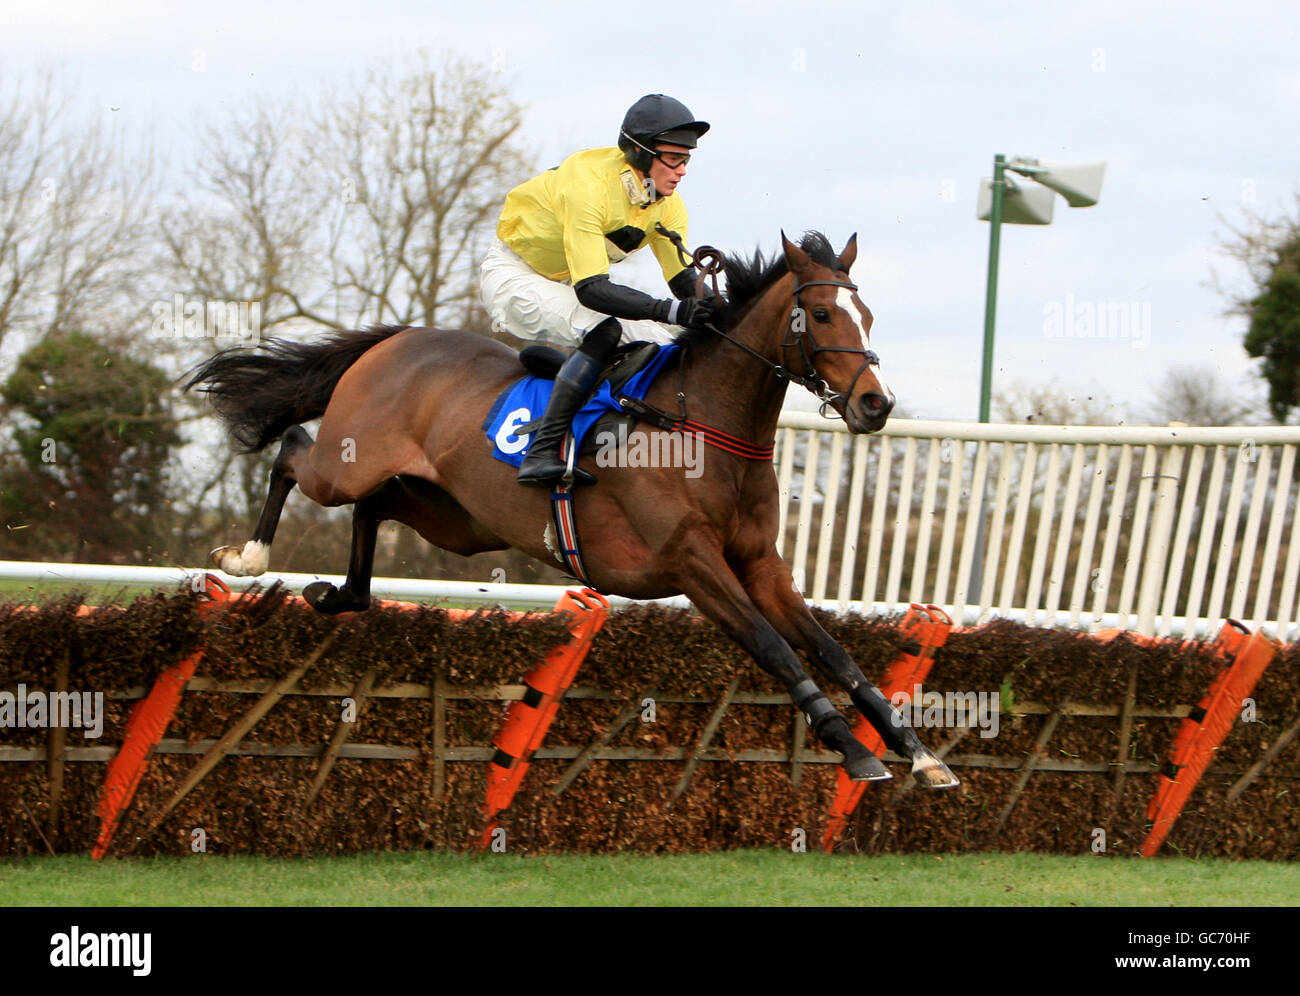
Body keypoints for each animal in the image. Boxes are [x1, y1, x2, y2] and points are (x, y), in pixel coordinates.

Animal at [185, 230, 956, 790]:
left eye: (868, 316)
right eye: (820, 314)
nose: (876, 404)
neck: (704, 428)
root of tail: (398, 338)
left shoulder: (760, 564)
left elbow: (832, 648)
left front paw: (918, 754)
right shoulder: (692, 564)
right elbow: (773, 647)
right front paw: (855, 752)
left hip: (453, 517)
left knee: (373, 510)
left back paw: (340, 595)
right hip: (349, 463)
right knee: (294, 451)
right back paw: (245, 557)